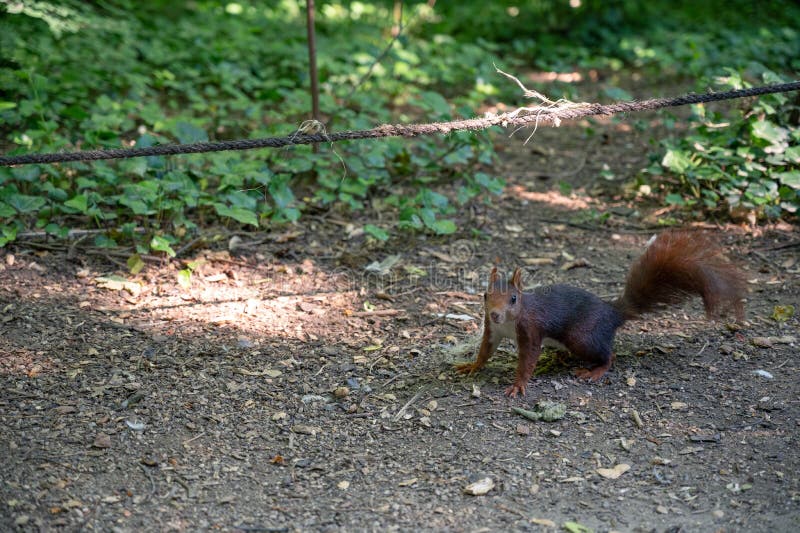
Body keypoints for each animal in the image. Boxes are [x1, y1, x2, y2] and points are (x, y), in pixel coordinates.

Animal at [455, 230, 746, 397]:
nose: (495, 314)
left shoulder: (530, 329)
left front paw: (518, 384)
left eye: (514, 299)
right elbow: (485, 351)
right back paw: (559, 358)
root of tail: (612, 312)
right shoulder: (492, 331)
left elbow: (528, 359)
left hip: (582, 337)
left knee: (609, 355)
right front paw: (472, 366)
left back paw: (594, 371)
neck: (509, 322)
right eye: (485, 296)